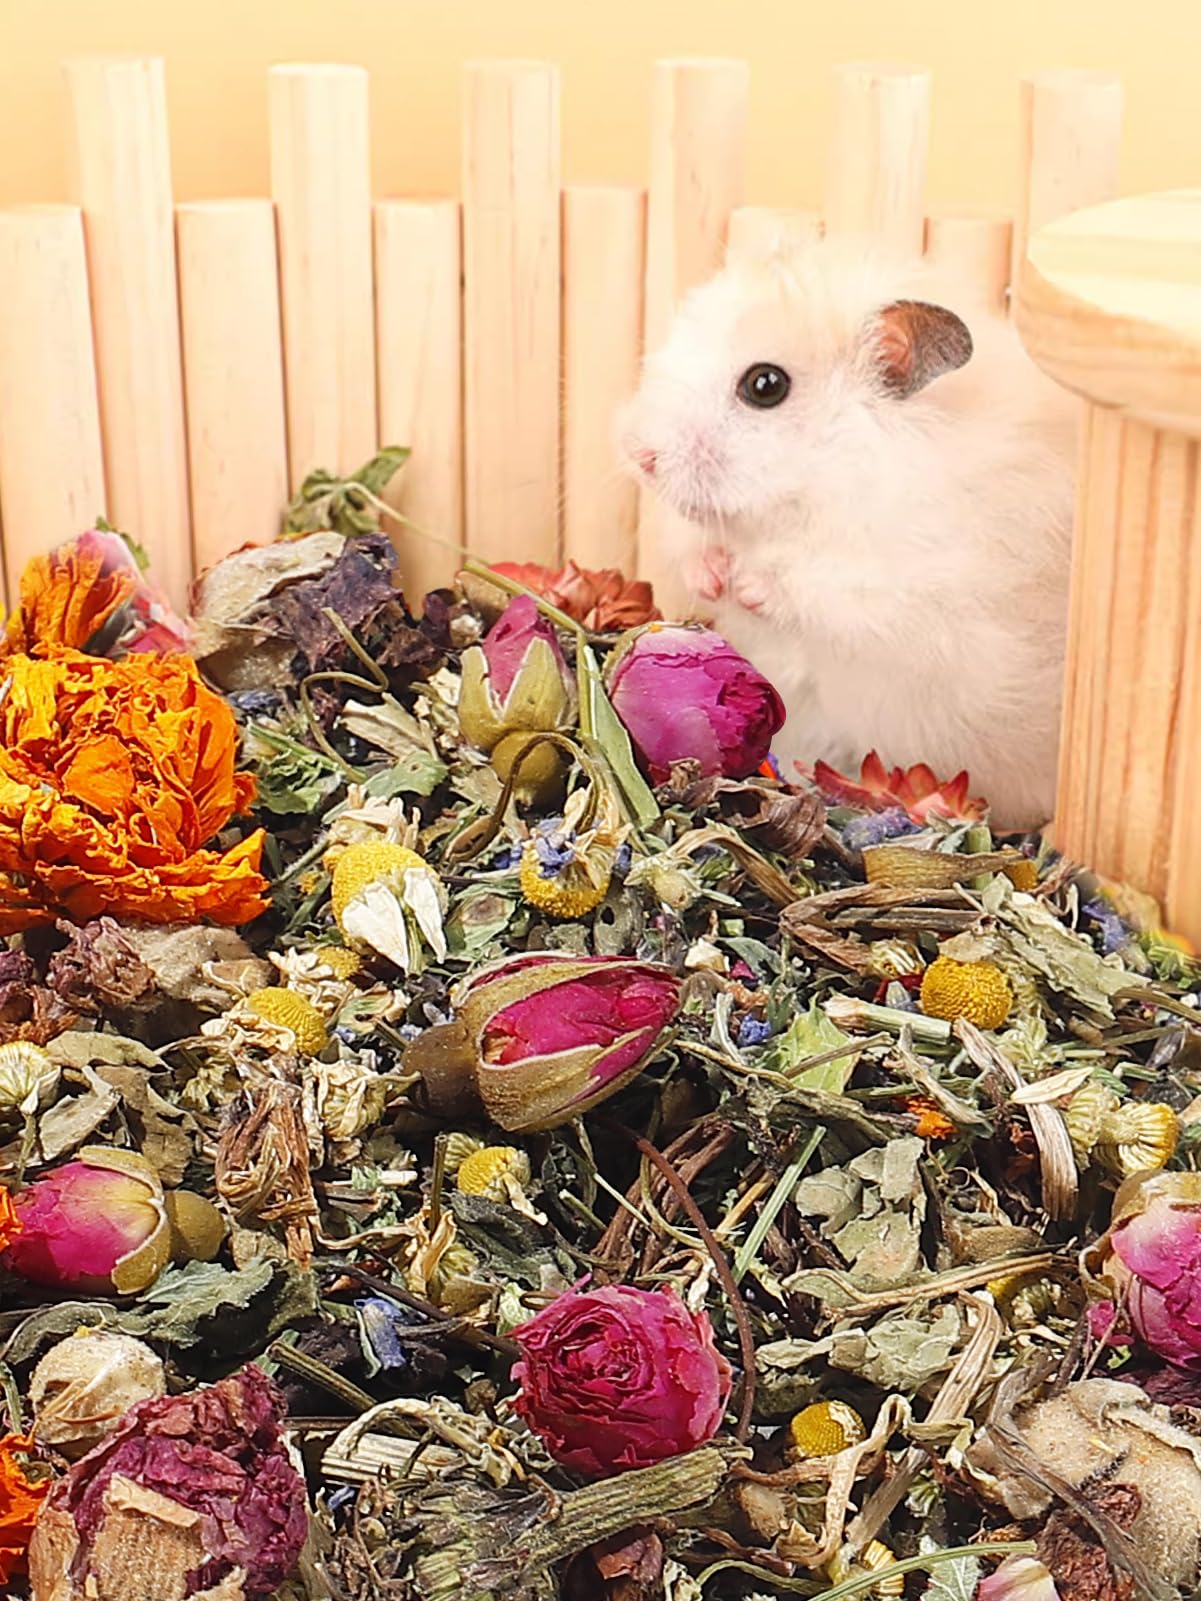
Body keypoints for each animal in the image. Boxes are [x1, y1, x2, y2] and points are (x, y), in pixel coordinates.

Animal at [618, 234, 1079, 831]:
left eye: (765, 385)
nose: (640, 455)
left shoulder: (899, 591)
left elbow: (820, 590)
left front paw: (748, 584)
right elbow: (698, 550)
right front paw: (716, 575)